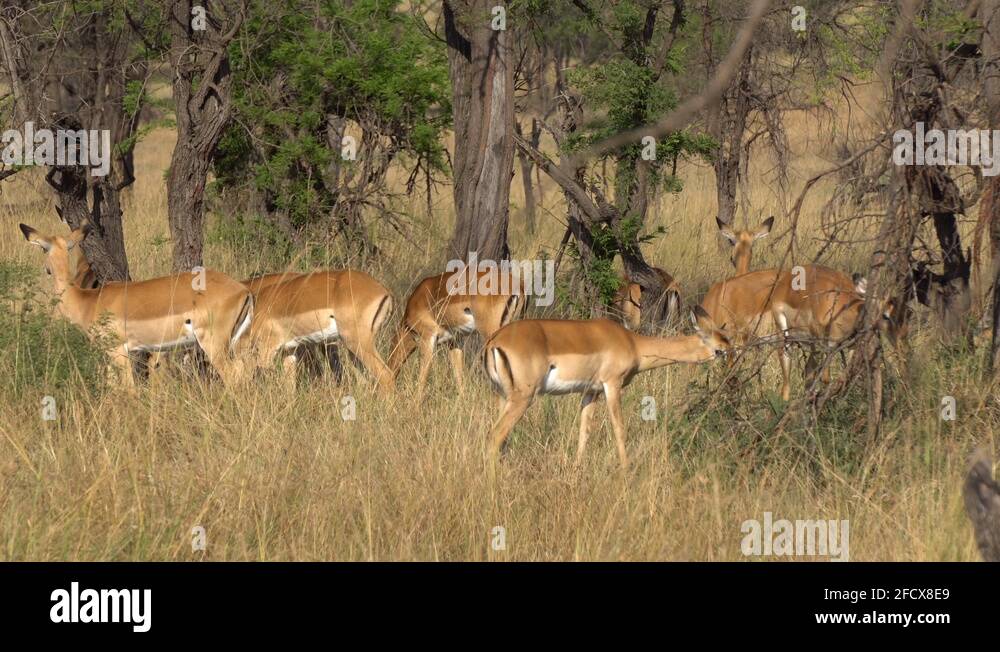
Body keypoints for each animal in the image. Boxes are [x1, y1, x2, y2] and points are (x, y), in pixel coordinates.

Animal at [19, 222, 253, 388]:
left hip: (213, 343)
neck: (87, 301)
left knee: (234, 375)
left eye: (43, 249)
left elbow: (127, 389)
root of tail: (243, 290)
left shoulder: (117, 351)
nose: (46, 270)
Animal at [243, 270, 395, 390]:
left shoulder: (266, 350)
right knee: (363, 380)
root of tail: (384, 291)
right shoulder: (289, 351)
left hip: (356, 342)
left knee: (386, 375)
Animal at [483, 306, 730, 468]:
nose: (732, 354)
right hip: (523, 397)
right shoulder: (612, 384)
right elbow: (619, 429)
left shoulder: (591, 392)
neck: (633, 343)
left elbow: (584, 431)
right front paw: (625, 470)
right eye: (720, 344)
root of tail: (495, 341)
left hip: (503, 396)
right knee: (495, 436)